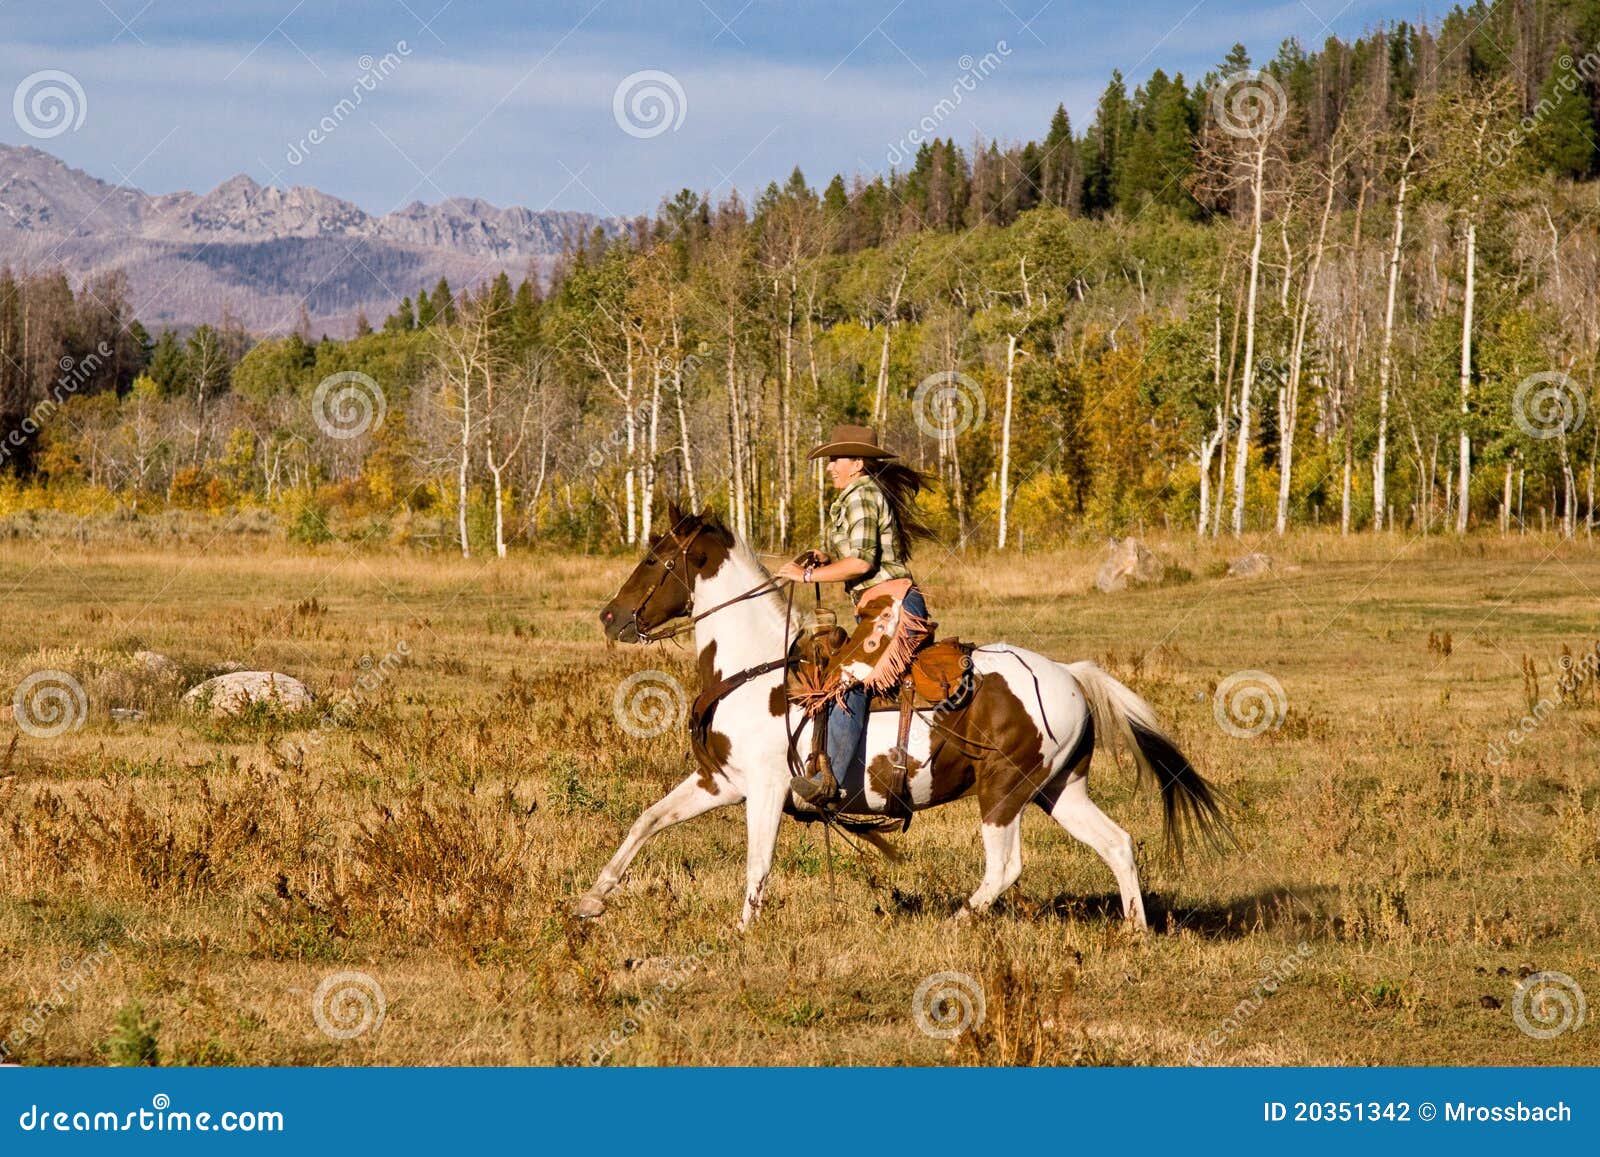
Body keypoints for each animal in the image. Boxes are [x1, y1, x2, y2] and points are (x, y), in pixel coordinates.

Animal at [582, 502, 1230, 930]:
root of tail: (1069, 674)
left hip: (1003, 790)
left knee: (1005, 867)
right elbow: (647, 821)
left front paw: (743, 932)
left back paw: (955, 923)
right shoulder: (720, 780)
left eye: (654, 557)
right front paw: (592, 899)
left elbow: (758, 862)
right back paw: (1135, 931)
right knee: (1117, 843)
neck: (755, 666)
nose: (609, 618)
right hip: (1058, 788)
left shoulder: (766, 788)